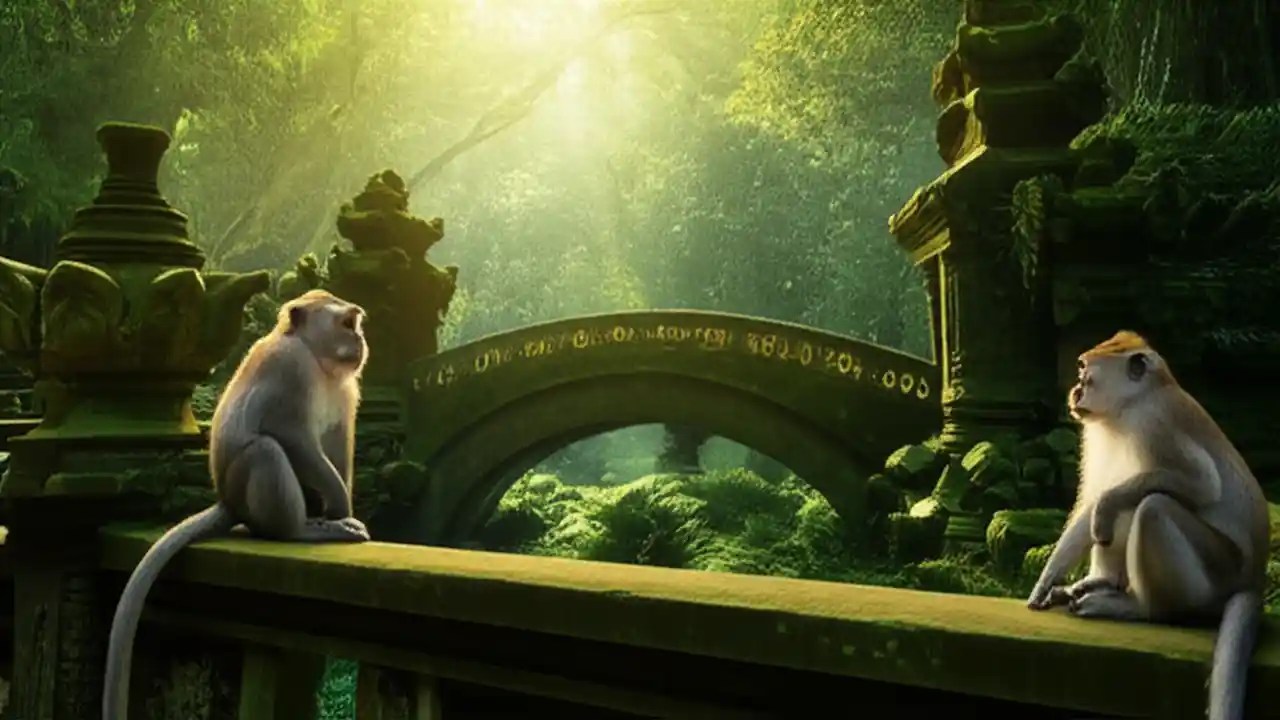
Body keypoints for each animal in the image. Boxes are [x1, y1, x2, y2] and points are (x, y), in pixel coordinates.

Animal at [102, 289, 372, 720]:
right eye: (344, 323)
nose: (360, 341)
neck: (317, 361)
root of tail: (226, 501)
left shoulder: (346, 389)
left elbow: (337, 441)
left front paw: (340, 506)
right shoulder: (290, 369)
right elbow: (290, 434)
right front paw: (341, 510)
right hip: (246, 485)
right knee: (266, 451)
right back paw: (300, 530)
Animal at [1027, 330, 1270, 720]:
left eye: (1086, 373)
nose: (1076, 391)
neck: (1128, 409)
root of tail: (1253, 578)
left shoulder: (1155, 426)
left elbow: (1202, 483)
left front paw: (1108, 505)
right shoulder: (1100, 432)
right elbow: (1092, 502)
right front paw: (1046, 580)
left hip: (1218, 571)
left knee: (1152, 506)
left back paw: (1139, 607)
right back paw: (1101, 582)